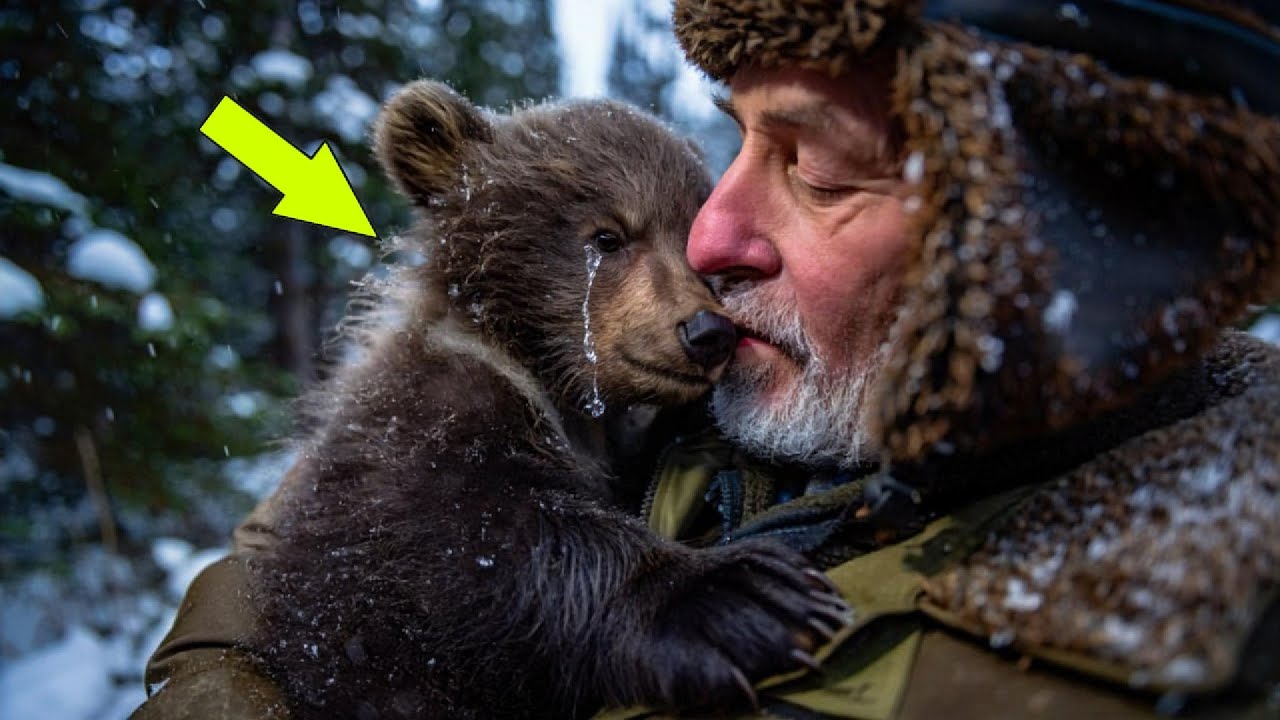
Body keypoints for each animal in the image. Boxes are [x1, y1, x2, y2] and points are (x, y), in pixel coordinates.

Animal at [246, 80, 850, 720]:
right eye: (608, 235)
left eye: (694, 244)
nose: (708, 333)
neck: (558, 387)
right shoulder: (421, 425)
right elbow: (481, 536)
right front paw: (739, 597)